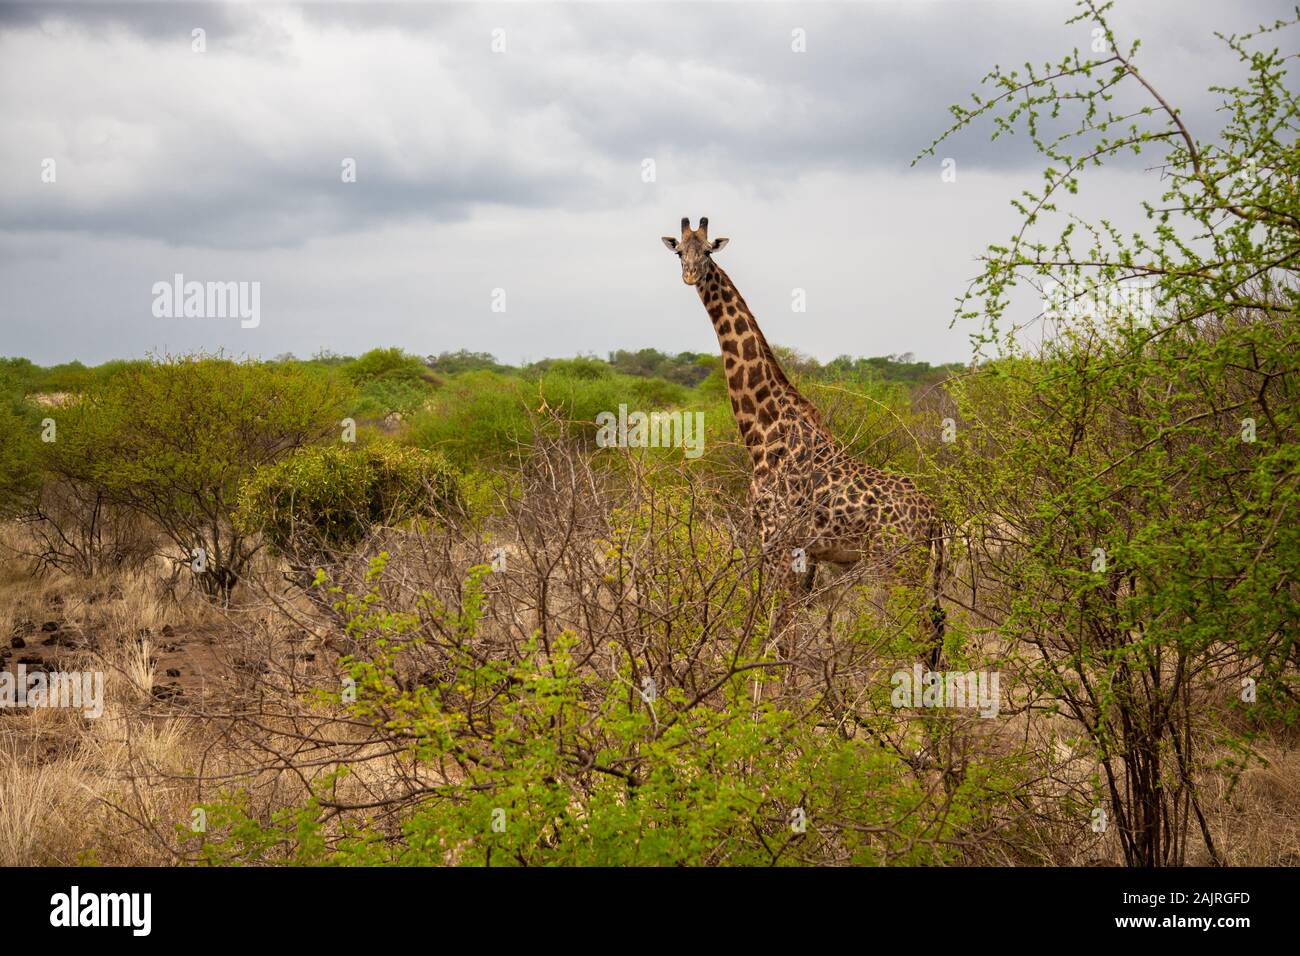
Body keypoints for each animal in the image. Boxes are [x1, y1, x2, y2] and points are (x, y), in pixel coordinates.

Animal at [662, 217, 947, 665]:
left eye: (707, 250)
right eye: (679, 251)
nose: (691, 274)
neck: (763, 432)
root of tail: (935, 517)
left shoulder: (777, 540)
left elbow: (780, 630)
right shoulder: (802, 552)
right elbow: (789, 627)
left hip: (898, 563)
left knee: (919, 631)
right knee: (935, 629)